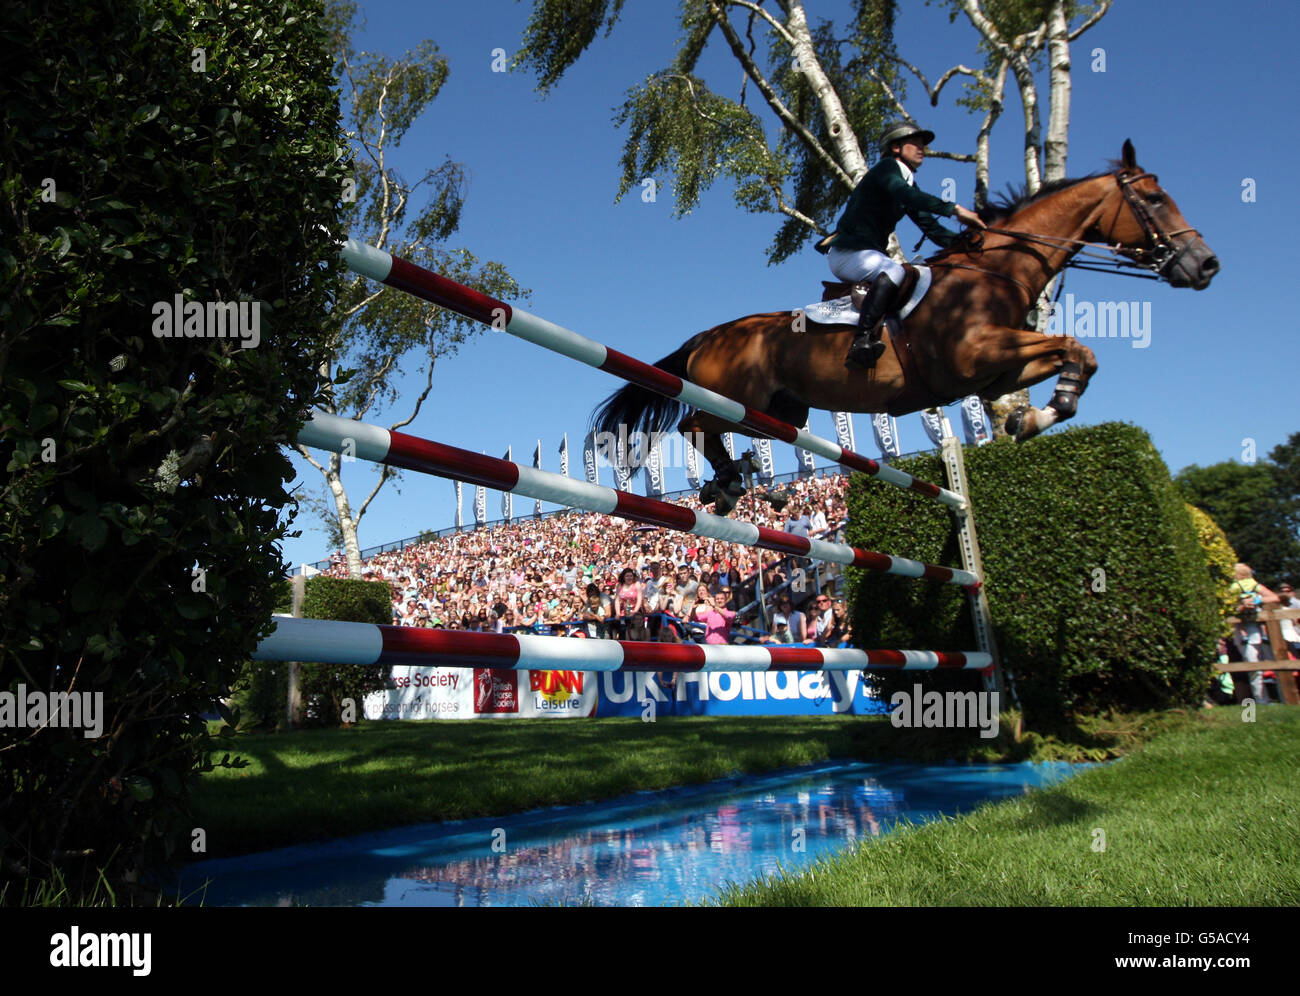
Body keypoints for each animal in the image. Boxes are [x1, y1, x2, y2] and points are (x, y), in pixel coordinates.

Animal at [591, 141, 1218, 514]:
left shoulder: (996, 372)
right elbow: (1075, 347)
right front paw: (1049, 408)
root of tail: (710, 334)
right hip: (732, 397)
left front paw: (1038, 414)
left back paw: (736, 482)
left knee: (722, 431)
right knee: (693, 425)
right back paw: (725, 483)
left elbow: (1075, 354)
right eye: (1156, 198)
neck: (994, 272)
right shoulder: (980, 353)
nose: (1205, 265)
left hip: (780, 411)